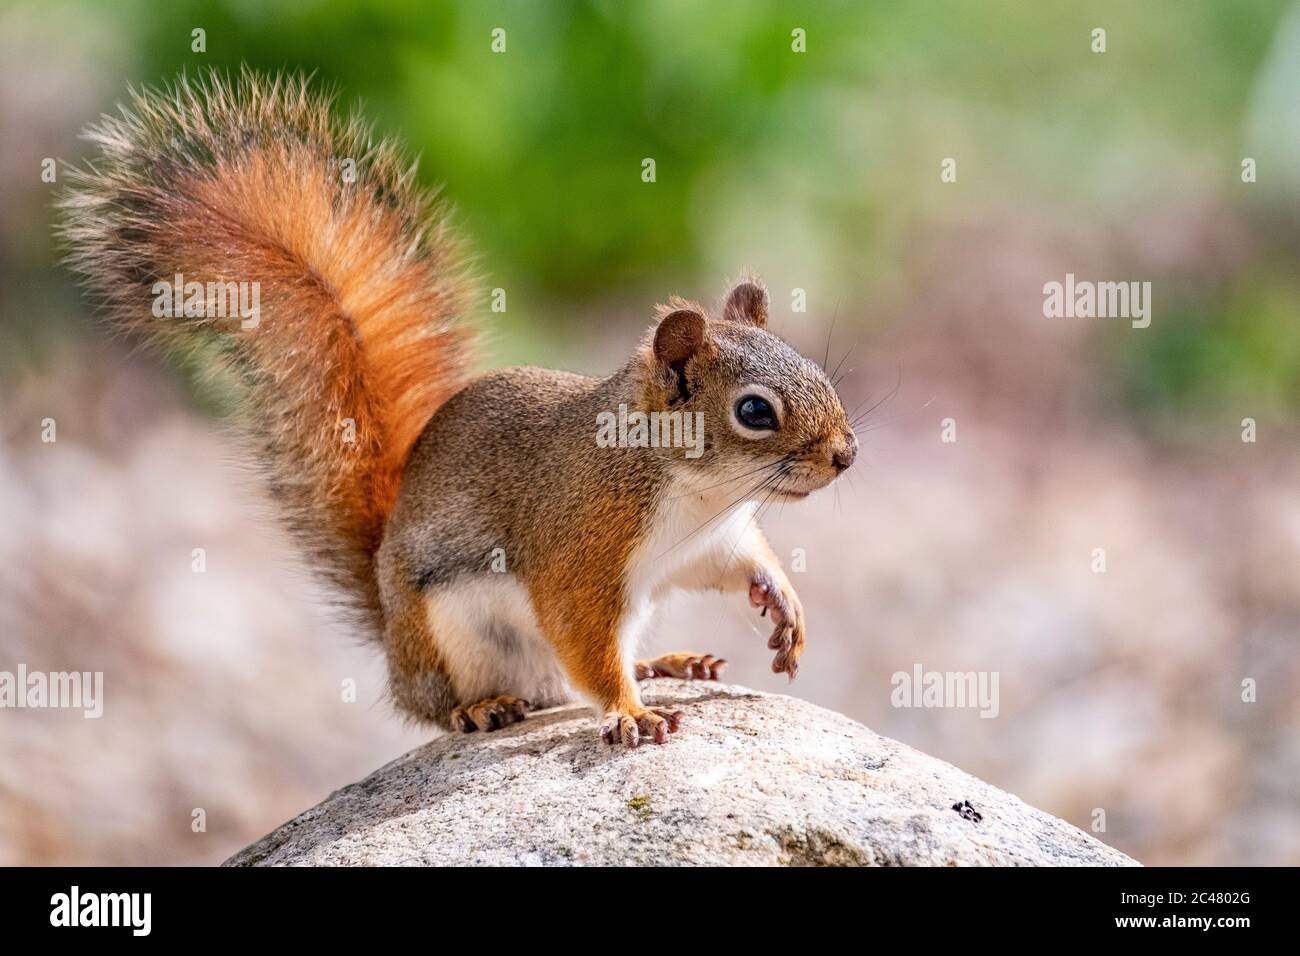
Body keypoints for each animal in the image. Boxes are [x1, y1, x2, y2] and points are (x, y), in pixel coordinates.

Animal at [57, 69, 857, 747]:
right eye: (755, 412)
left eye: (819, 371)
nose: (845, 456)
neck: (693, 490)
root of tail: (391, 632)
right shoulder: (581, 550)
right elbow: (587, 643)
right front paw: (630, 713)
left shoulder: (709, 543)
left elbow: (742, 563)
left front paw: (784, 607)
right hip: (450, 635)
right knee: (454, 703)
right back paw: (486, 707)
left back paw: (668, 663)